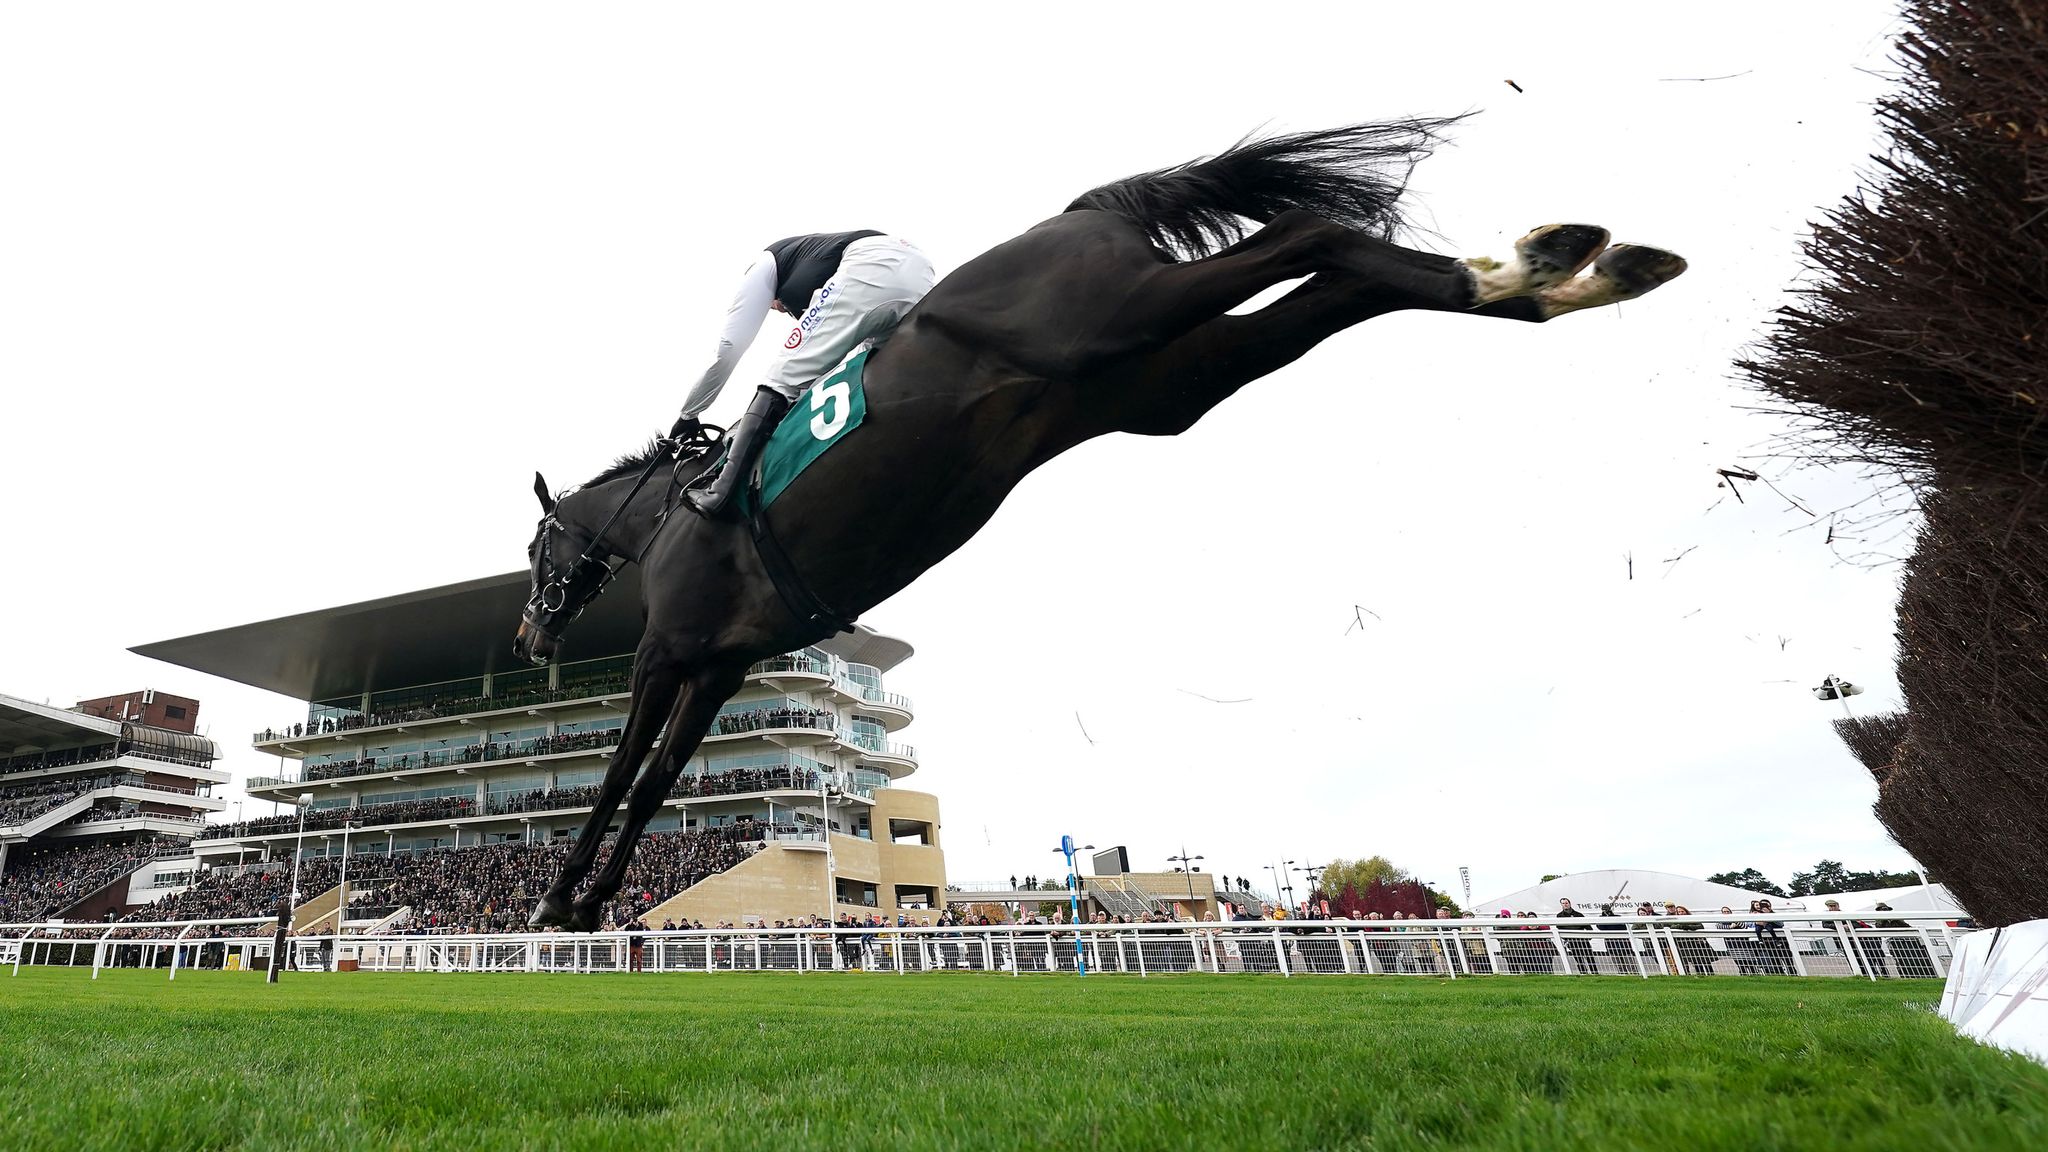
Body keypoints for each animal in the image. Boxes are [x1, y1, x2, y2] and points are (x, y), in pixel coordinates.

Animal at [513, 121, 1687, 931]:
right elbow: (655, 783)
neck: (668, 521)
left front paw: (557, 901)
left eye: (536, 550)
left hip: (1114, 322)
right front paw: (590, 901)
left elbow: (619, 774)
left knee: (1303, 234)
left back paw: (1546, 261)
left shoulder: (666, 653)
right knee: (1333, 286)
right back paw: (1552, 271)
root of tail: (1077, 211)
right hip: (1162, 383)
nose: (529, 633)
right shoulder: (718, 667)